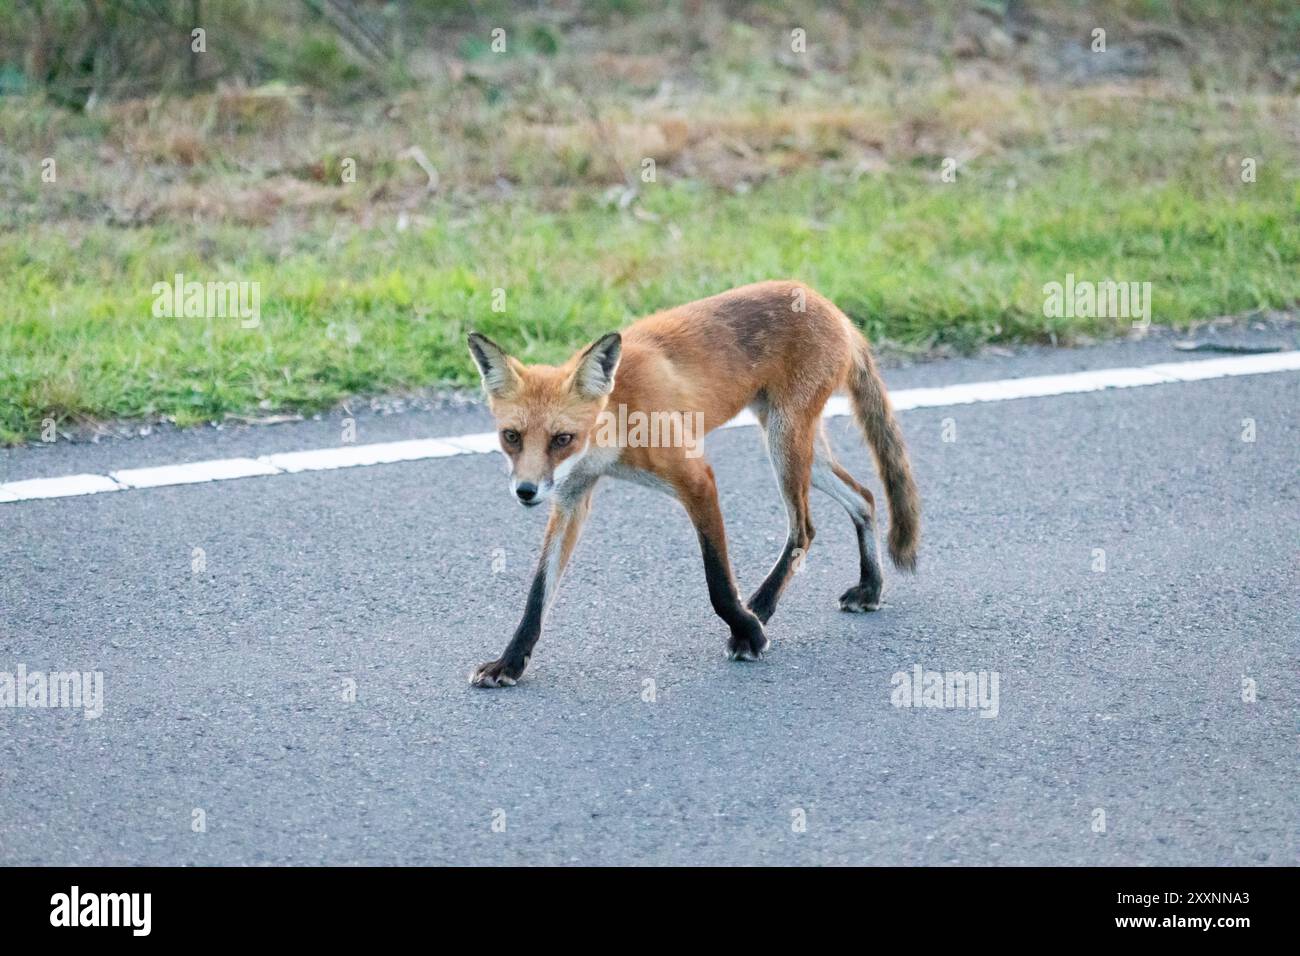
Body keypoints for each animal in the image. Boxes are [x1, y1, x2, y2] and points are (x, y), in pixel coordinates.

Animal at [465, 280, 920, 687]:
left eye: (562, 439)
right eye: (511, 437)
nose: (526, 491)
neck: (616, 421)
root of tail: (834, 308)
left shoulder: (697, 479)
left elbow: (717, 583)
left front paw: (747, 635)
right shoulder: (572, 497)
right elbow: (537, 595)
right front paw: (510, 662)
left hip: (785, 443)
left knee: (805, 529)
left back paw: (760, 607)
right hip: (802, 450)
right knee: (865, 497)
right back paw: (870, 588)